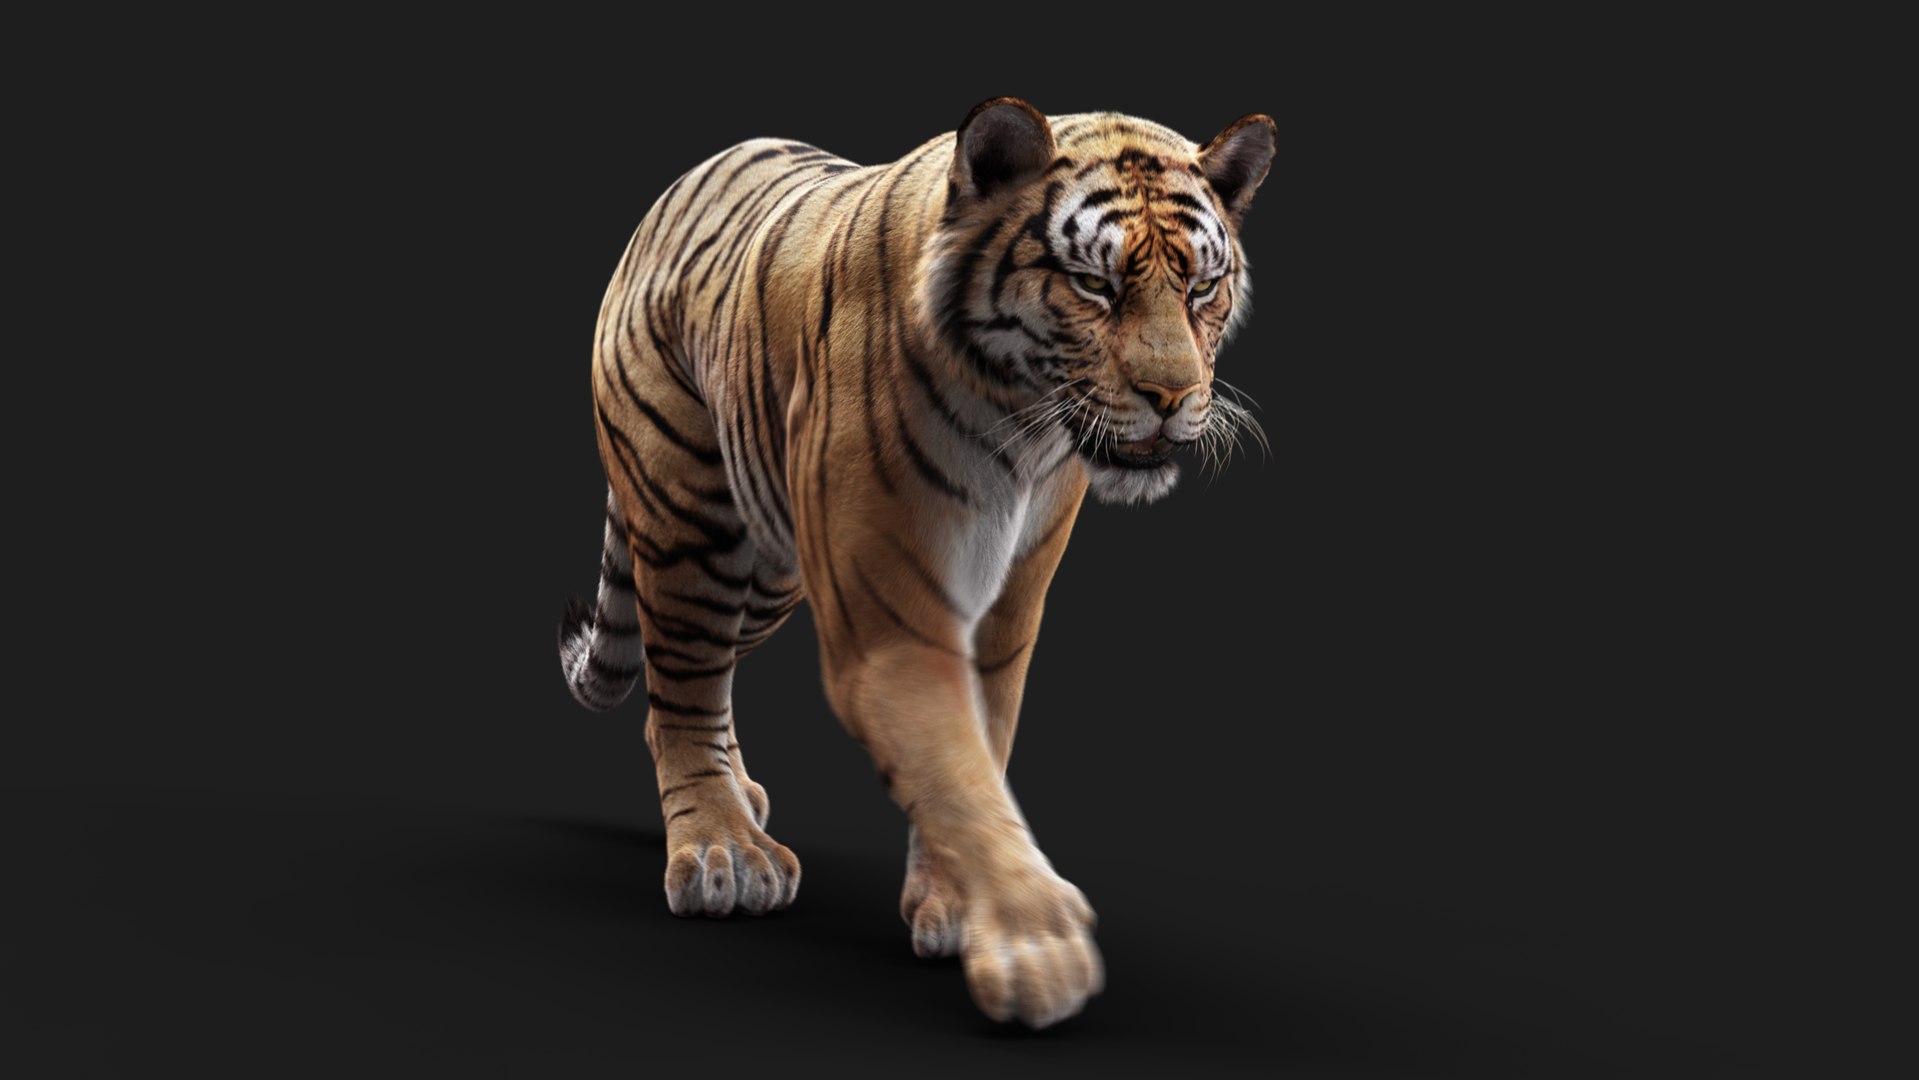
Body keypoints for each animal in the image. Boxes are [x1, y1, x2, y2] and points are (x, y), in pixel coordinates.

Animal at [557, 97, 1274, 1028]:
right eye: (1095, 285)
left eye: (1199, 287)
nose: (1173, 398)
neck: (1022, 432)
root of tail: (676, 189)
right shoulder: (888, 626)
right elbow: (953, 767)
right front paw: (1035, 943)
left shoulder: (1002, 618)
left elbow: (977, 752)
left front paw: (957, 904)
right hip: (689, 519)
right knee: (679, 684)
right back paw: (722, 845)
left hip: (770, 573)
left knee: (699, 677)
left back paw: (740, 800)